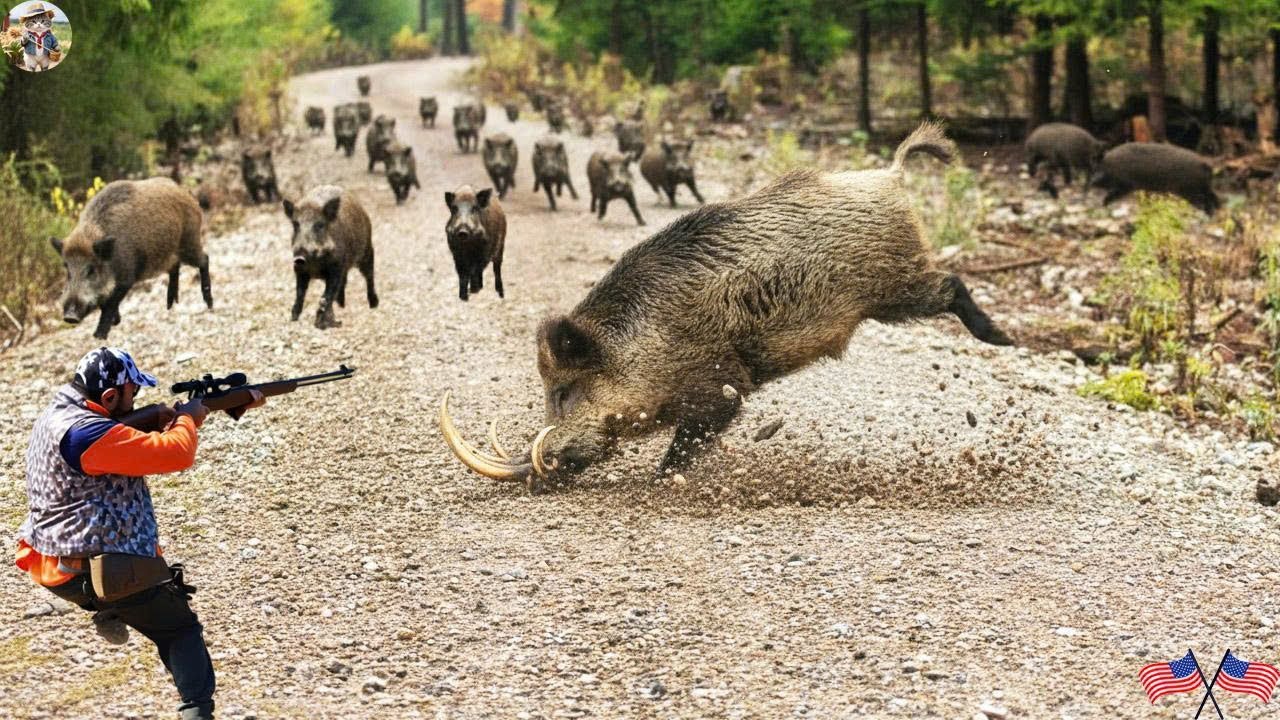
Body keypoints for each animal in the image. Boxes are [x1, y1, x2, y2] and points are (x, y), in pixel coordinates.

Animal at [51, 177, 211, 340]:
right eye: (67, 270)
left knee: (204, 259)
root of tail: (187, 193)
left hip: (189, 243)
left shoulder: (126, 278)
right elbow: (105, 303)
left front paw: (99, 335)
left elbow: (109, 304)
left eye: (91, 270)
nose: (69, 317)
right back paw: (170, 305)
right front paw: (115, 322)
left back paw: (209, 304)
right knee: (175, 268)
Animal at [283, 186, 377, 329]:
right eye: (295, 224)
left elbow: (327, 295)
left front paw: (320, 323)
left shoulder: (336, 269)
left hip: (367, 251)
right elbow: (300, 292)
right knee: (343, 284)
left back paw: (374, 304)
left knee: (369, 276)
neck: (315, 265)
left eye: (319, 225)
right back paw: (341, 305)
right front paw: (293, 318)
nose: (300, 257)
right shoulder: (300, 271)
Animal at [440, 123, 1013, 484]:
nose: (534, 477)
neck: (635, 345)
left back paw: (1002, 338)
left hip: (894, 287)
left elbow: (691, 440)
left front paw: (661, 481)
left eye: (564, 392)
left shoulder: (717, 385)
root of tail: (891, 176)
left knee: (951, 285)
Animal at [1091, 142, 1221, 214]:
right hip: (1202, 186)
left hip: (1190, 190)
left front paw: (1104, 204)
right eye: (1094, 168)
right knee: (1213, 196)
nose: (1092, 181)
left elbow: (1113, 194)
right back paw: (1217, 210)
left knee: (1205, 200)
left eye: (1098, 168)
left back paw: (1210, 213)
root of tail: (1205, 165)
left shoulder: (1126, 184)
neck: (1111, 165)